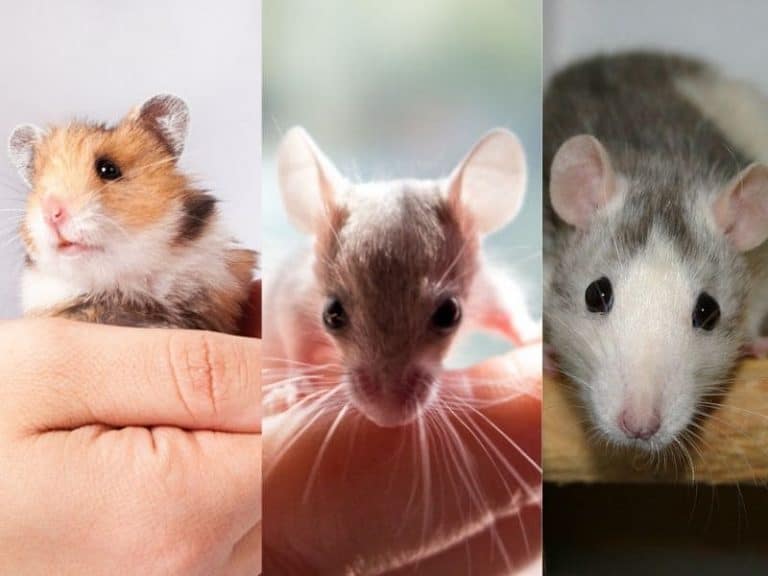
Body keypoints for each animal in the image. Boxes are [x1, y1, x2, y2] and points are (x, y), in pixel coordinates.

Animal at [264, 127, 539, 427]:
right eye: (331, 314)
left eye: (450, 313)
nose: (387, 417)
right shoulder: (293, 300)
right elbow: (296, 347)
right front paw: (292, 391)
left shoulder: (485, 289)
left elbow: (510, 311)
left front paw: (534, 336)